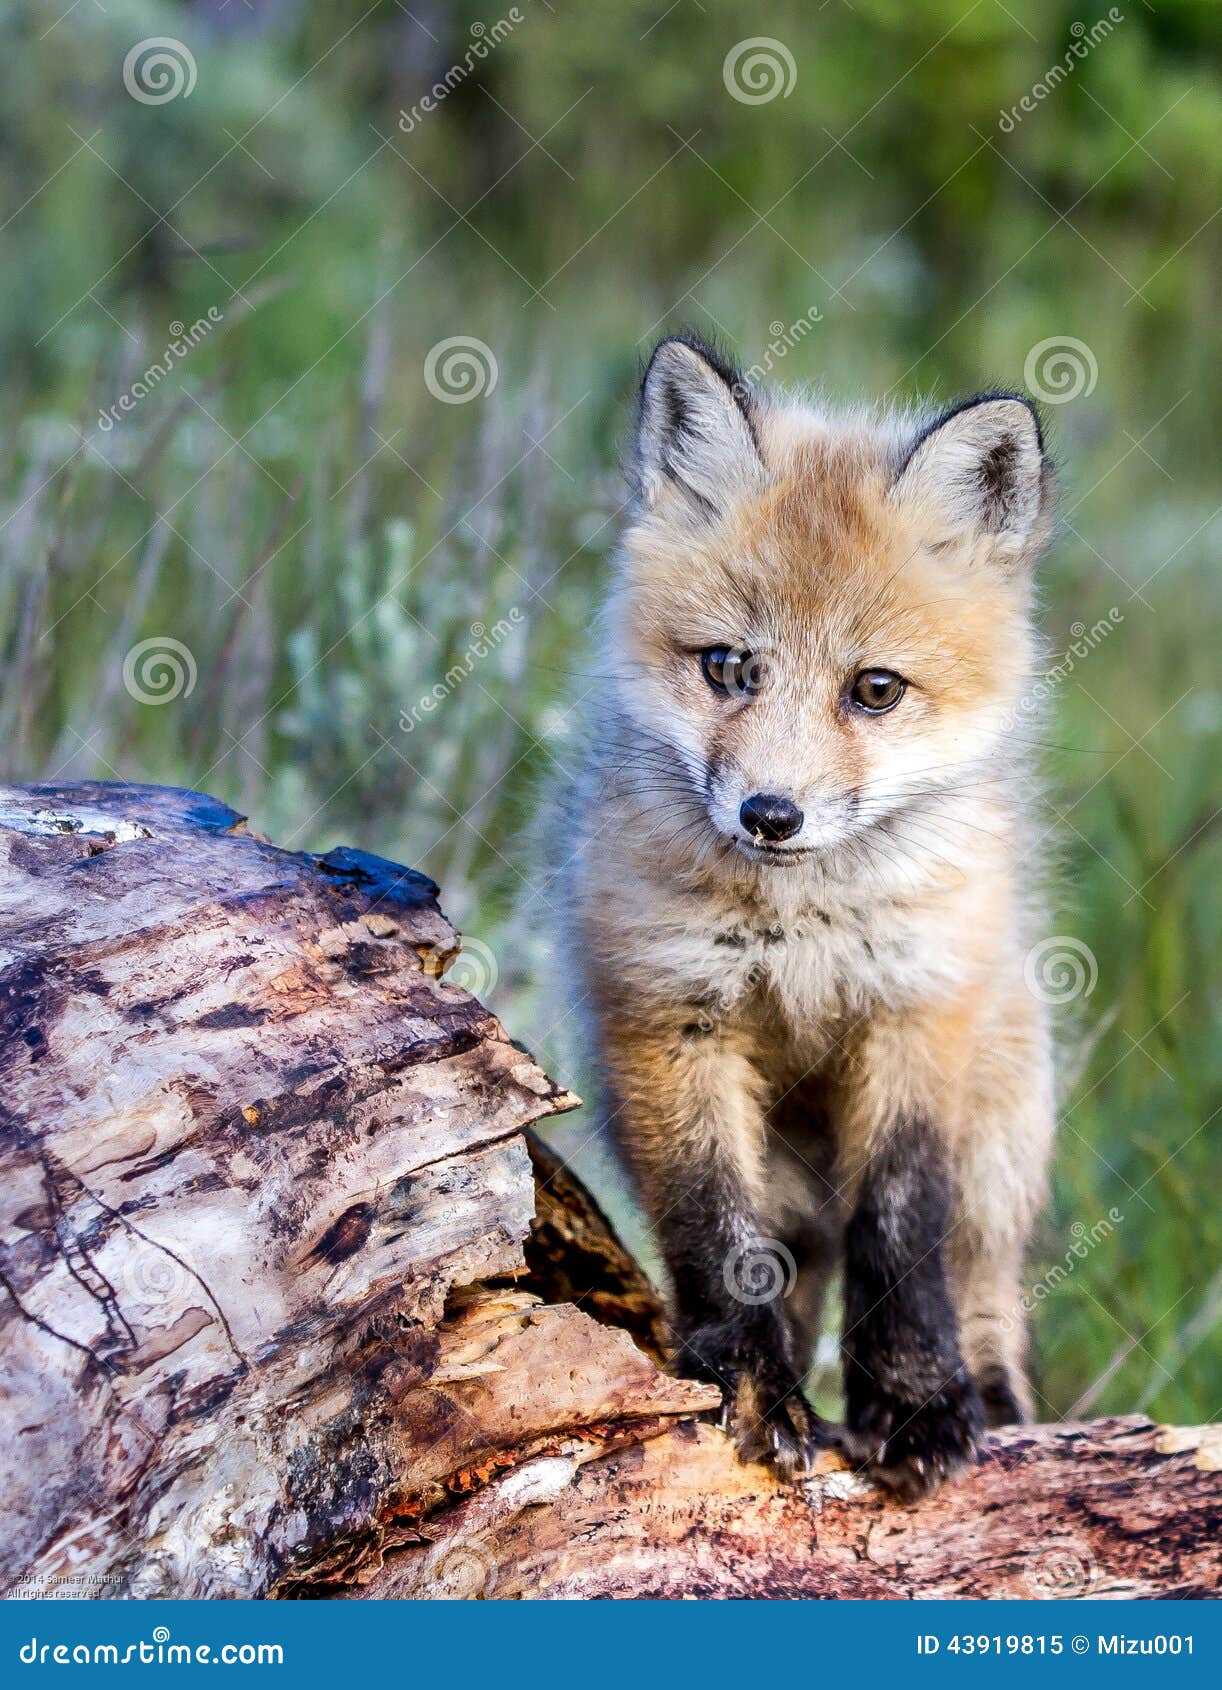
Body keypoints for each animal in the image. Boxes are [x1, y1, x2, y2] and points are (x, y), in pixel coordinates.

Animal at [556, 335, 1058, 1498]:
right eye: (729, 668)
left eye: (874, 689)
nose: (769, 815)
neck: (805, 933)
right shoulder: (671, 1020)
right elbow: (719, 1240)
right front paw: (752, 1390)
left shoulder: (918, 1016)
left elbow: (900, 1234)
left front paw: (915, 1404)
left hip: (1005, 1129)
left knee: (982, 1281)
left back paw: (996, 1396)